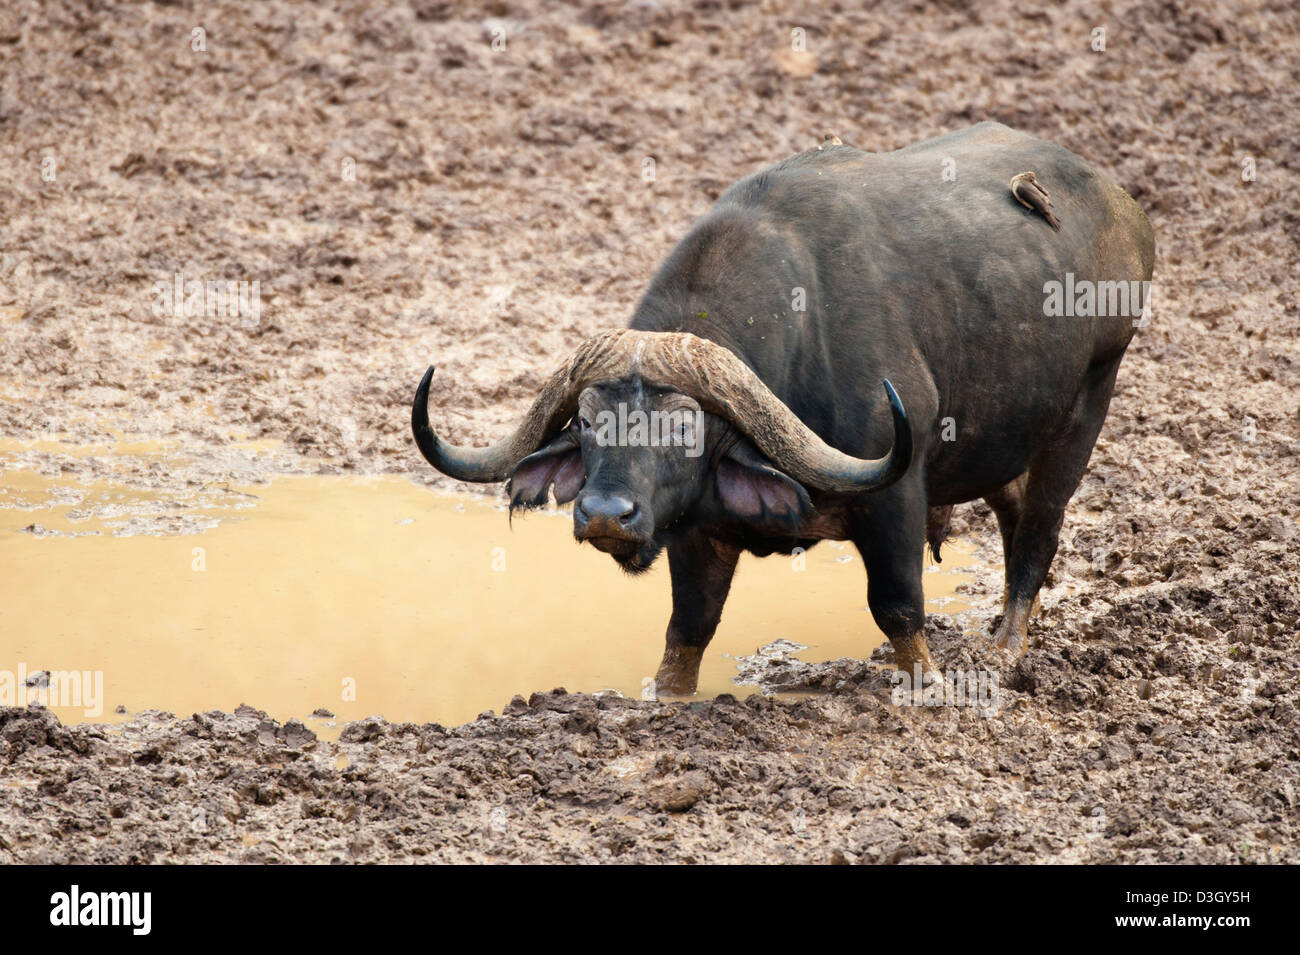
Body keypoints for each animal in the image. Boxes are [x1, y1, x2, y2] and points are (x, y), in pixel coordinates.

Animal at [412, 122, 1155, 694]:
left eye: (683, 427)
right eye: (591, 423)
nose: (603, 515)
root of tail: (1124, 210)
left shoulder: (895, 495)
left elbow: (899, 609)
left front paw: (931, 686)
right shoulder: (696, 527)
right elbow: (686, 632)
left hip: (1089, 400)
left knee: (1040, 530)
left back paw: (1004, 649)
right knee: (1012, 509)